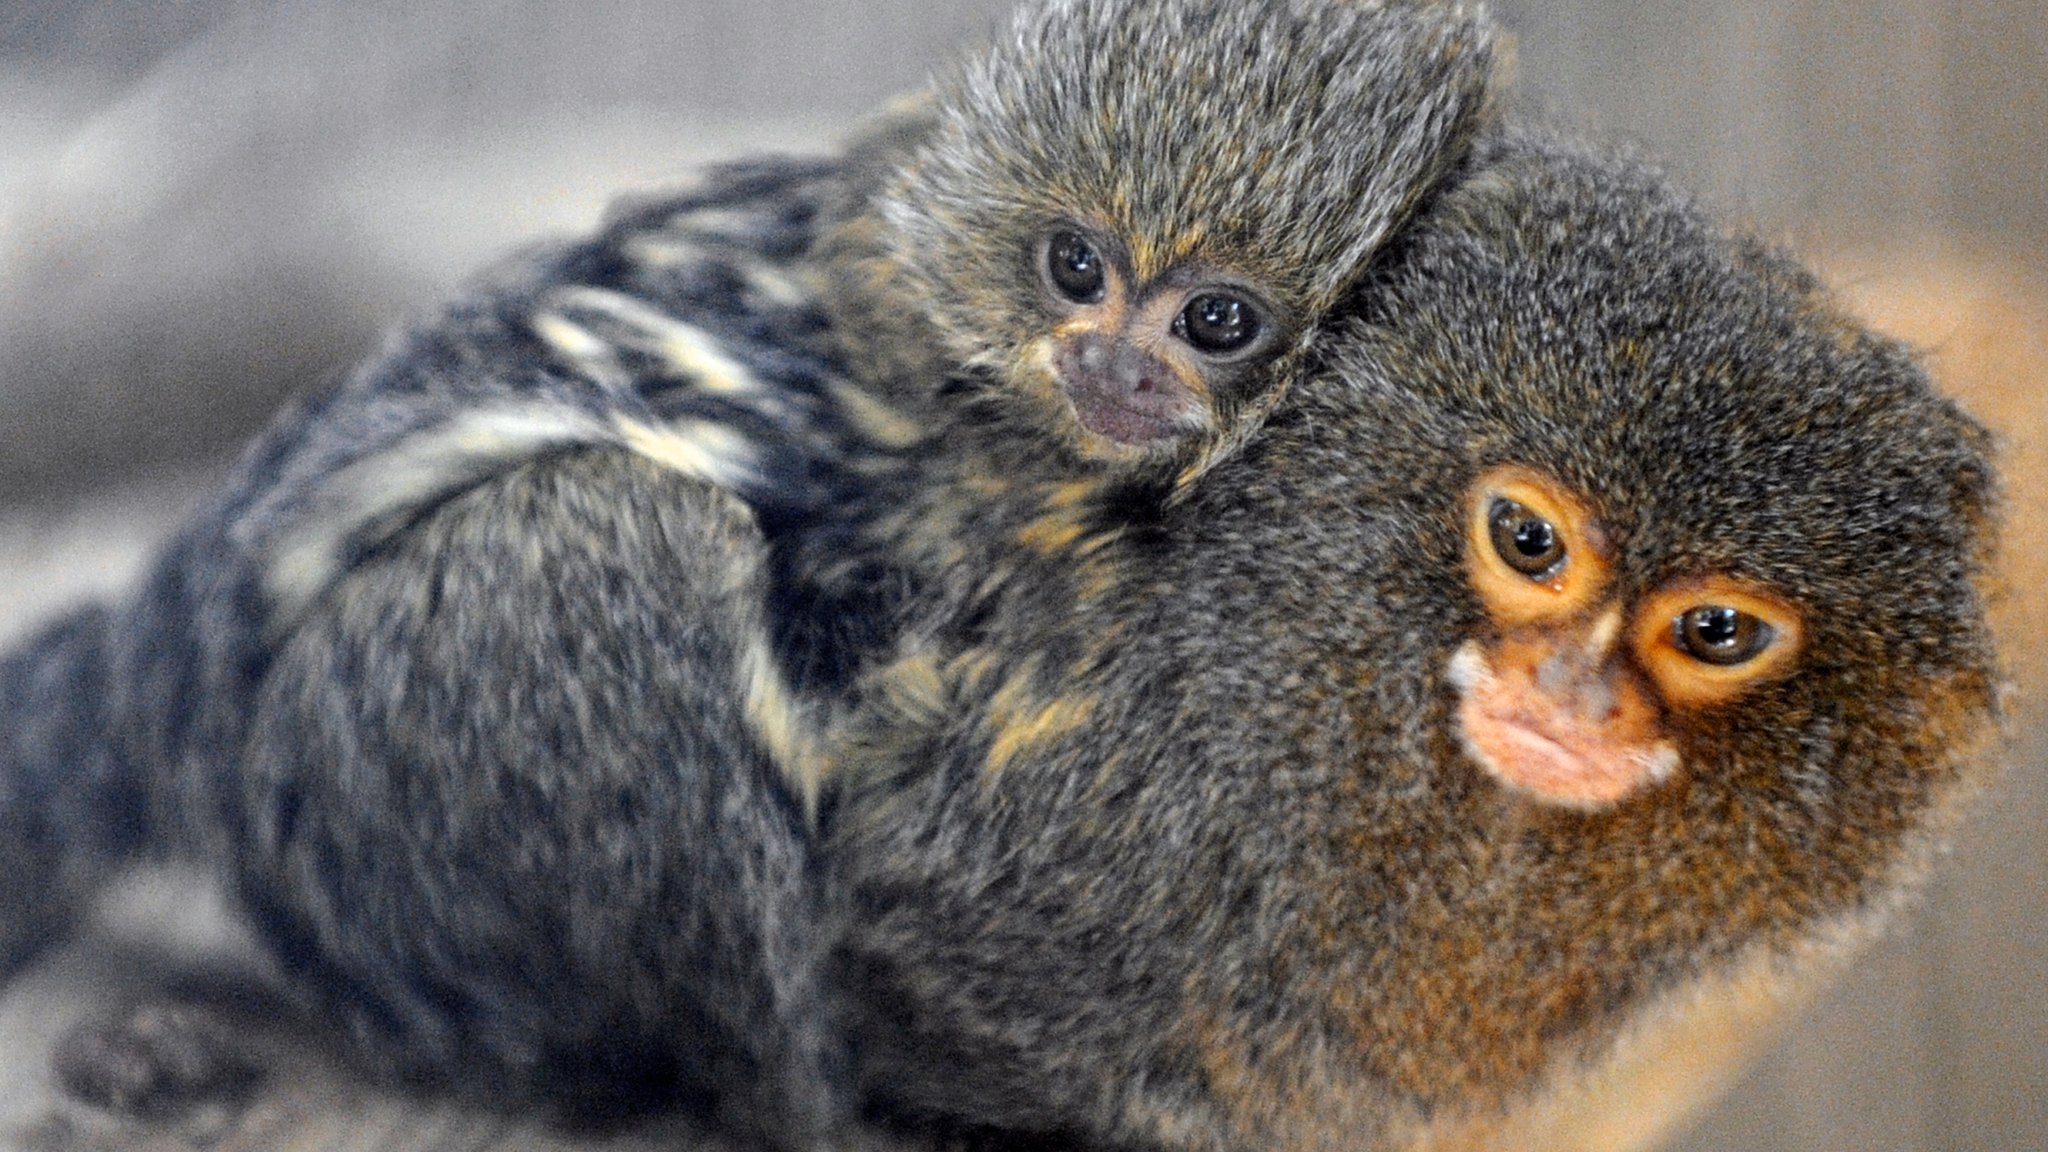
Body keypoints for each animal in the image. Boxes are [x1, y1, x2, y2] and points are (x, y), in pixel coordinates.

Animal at [0, 0, 1501, 1145]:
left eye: (1217, 320)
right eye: (1075, 267)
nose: (1112, 370)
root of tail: (173, 670)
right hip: (366, 781)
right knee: (629, 539)